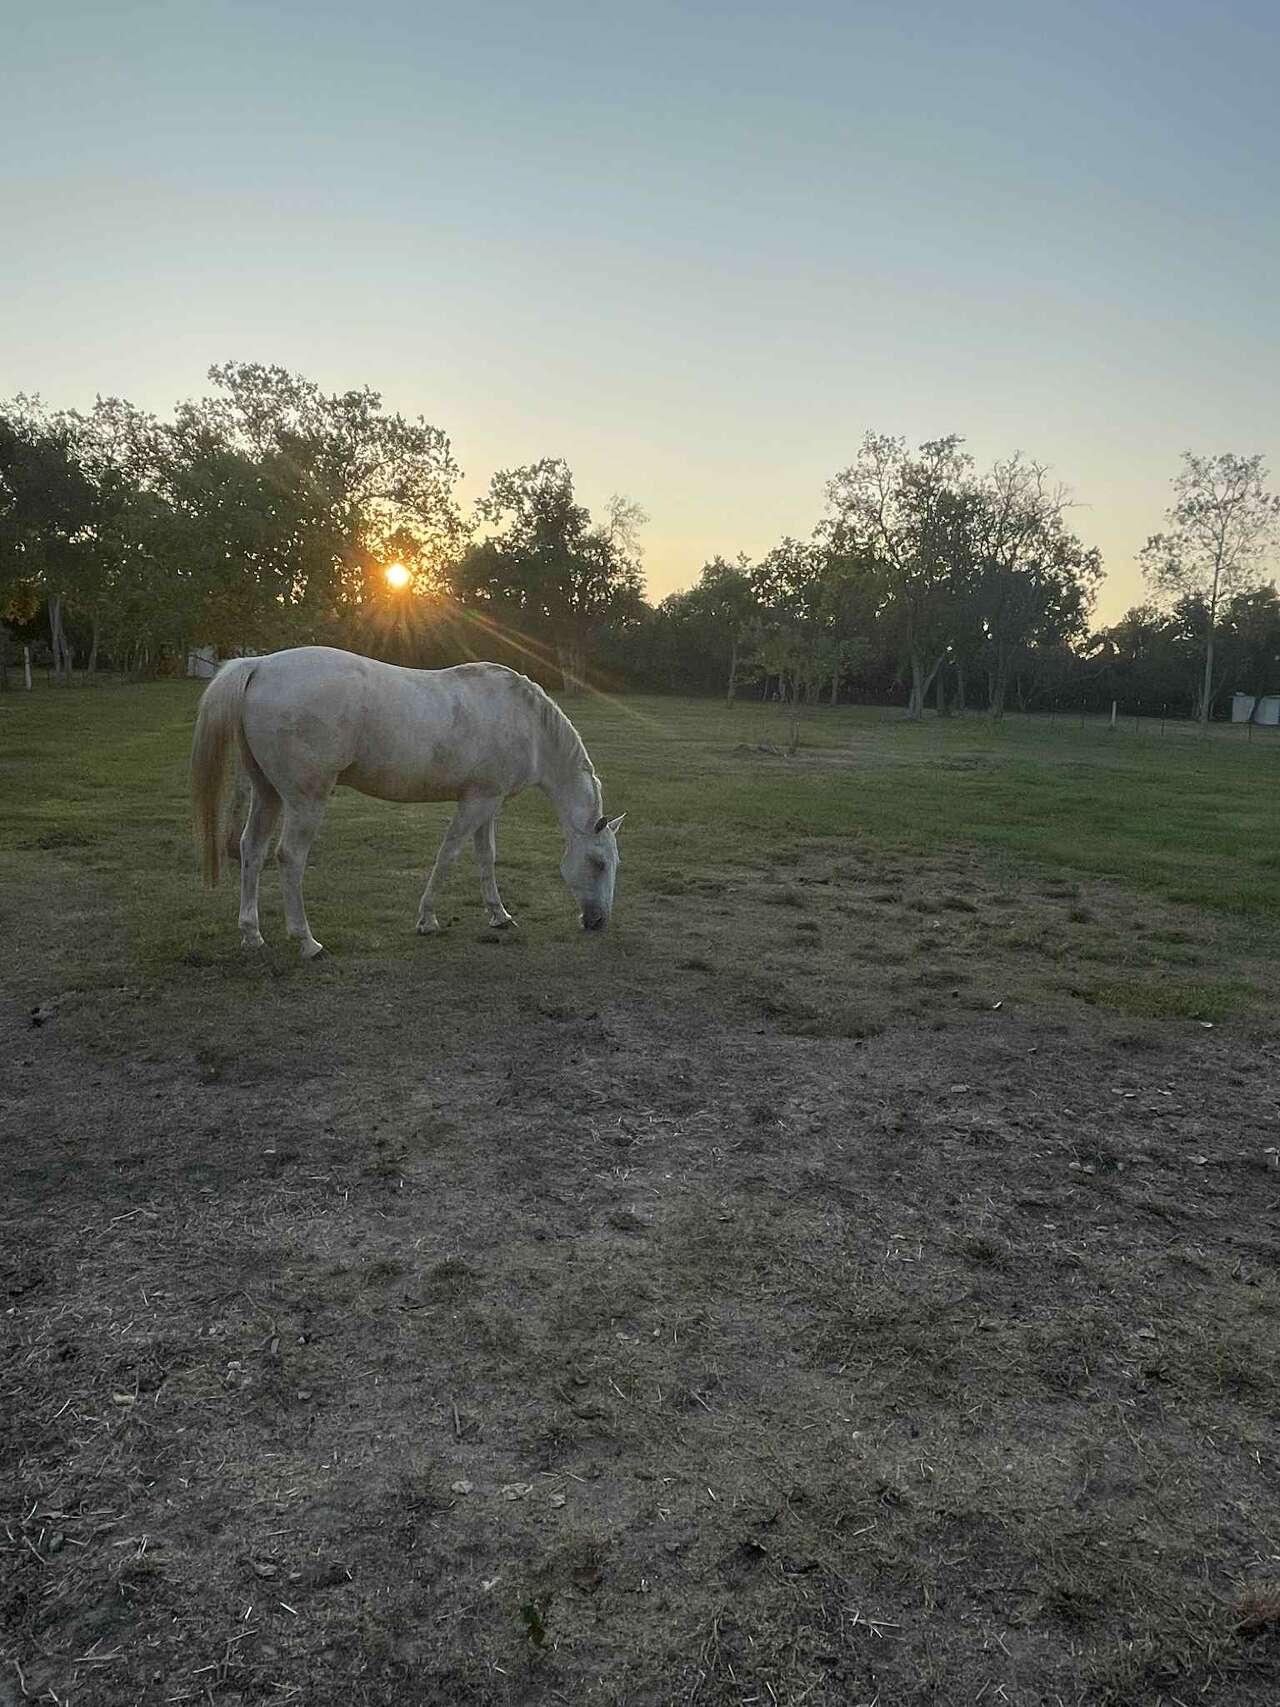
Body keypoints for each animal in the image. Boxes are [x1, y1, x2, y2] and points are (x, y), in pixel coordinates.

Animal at [190, 646, 625, 959]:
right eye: (599, 863)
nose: (598, 922)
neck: (526, 723)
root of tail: (260, 665)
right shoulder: (476, 804)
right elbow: (449, 855)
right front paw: (428, 919)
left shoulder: (488, 803)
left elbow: (486, 858)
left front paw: (499, 915)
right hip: (305, 800)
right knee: (289, 857)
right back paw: (307, 942)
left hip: (267, 793)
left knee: (252, 850)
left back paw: (252, 935)